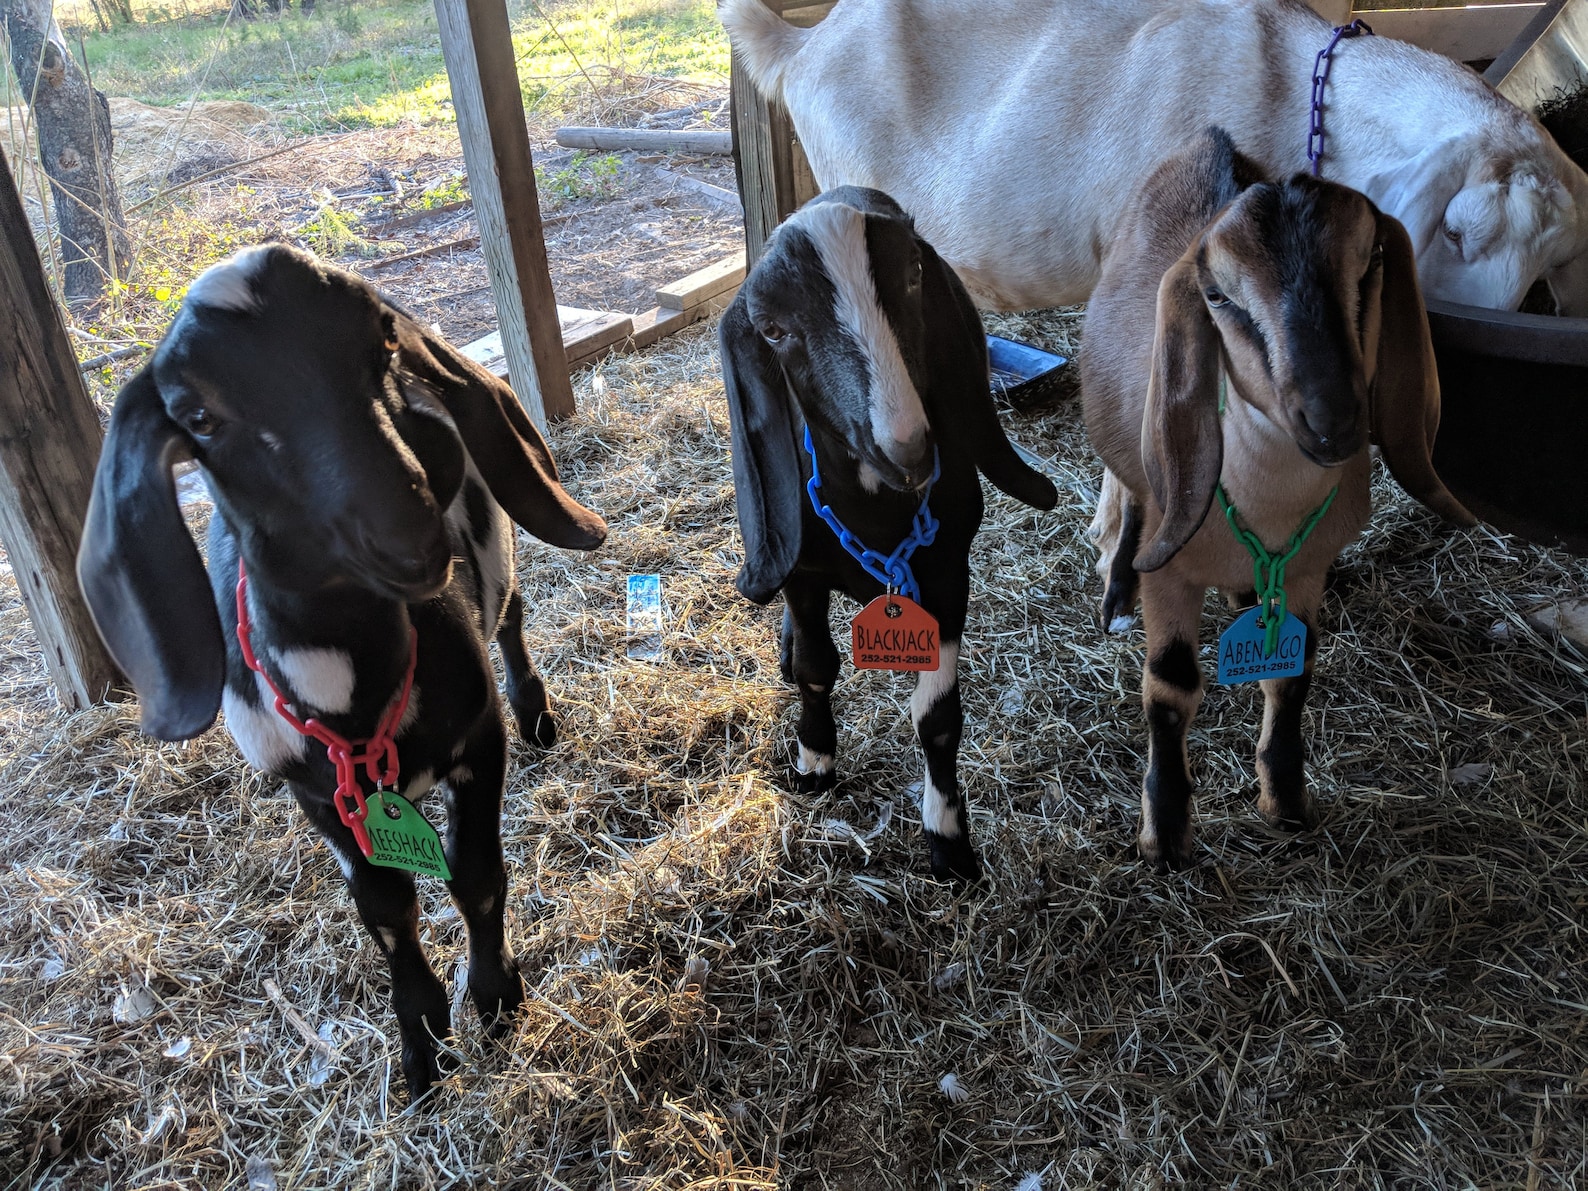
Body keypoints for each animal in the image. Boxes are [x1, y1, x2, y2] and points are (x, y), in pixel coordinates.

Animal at [76, 244, 608, 1100]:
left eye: (382, 340)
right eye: (198, 417)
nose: (406, 528)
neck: (354, 696)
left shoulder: (476, 739)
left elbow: (475, 873)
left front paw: (496, 994)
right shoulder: (318, 796)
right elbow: (384, 907)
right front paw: (423, 1044)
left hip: (497, 545)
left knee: (513, 611)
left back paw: (537, 709)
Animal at [720, 186, 1058, 882]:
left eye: (914, 274)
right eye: (773, 329)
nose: (907, 451)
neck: (876, 515)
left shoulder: (946, 570)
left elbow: (938, 716)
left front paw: (948, 838)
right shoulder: (802, 570)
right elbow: (817, 667)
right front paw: (814, 763)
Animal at [1080, 128, 1474, 870]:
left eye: (1372, 260)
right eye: (1218, 295)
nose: (1332, 418)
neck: (1264, 502)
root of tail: (1211, 141)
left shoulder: (1307, 567)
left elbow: (1294, 672)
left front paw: (1287, 801)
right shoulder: (1173, 575)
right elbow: (1171, 687)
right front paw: (1165, 832)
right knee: (1133, 501)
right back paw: (1117, 588)